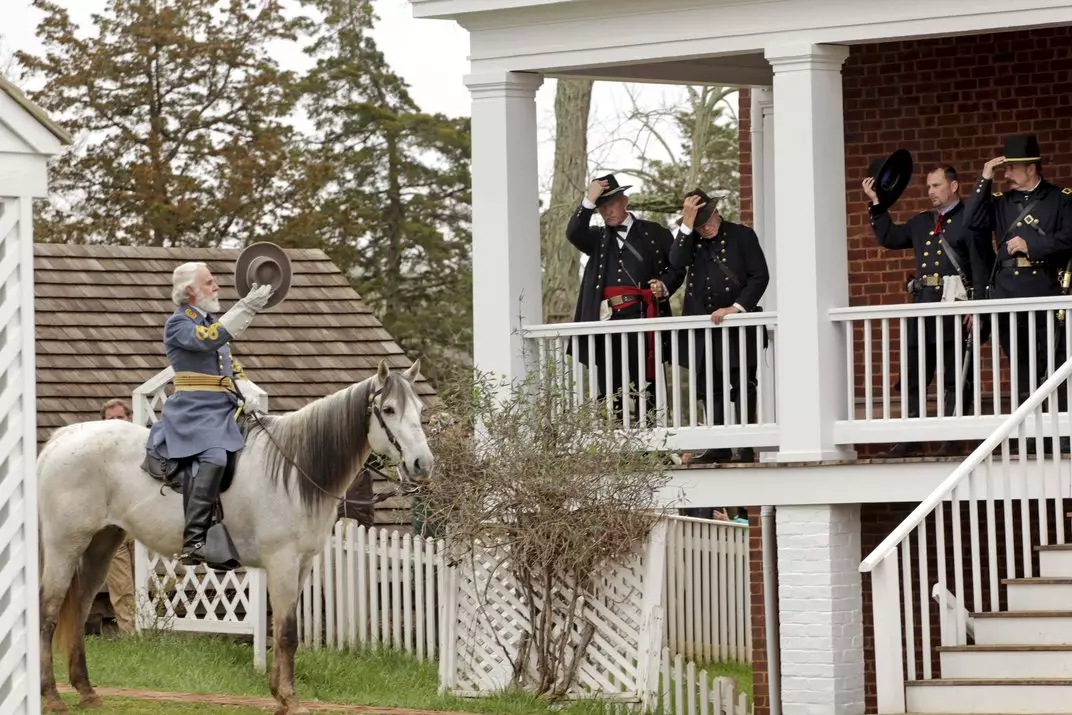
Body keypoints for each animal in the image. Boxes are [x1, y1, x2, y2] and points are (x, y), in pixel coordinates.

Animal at [37, 364, 430, 715]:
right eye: (389, 409)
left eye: (420, 409)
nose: (422, 464)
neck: (294, 469)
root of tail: (62, 439)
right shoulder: (282, 563)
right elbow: (287, 633)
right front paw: (290, 700)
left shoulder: (301, 566)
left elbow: (284, 631)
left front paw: (280, 696)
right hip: (64, 546)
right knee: (48, 611)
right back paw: (51, 696)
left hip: (101, 544)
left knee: (80, 608)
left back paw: (86, 691)